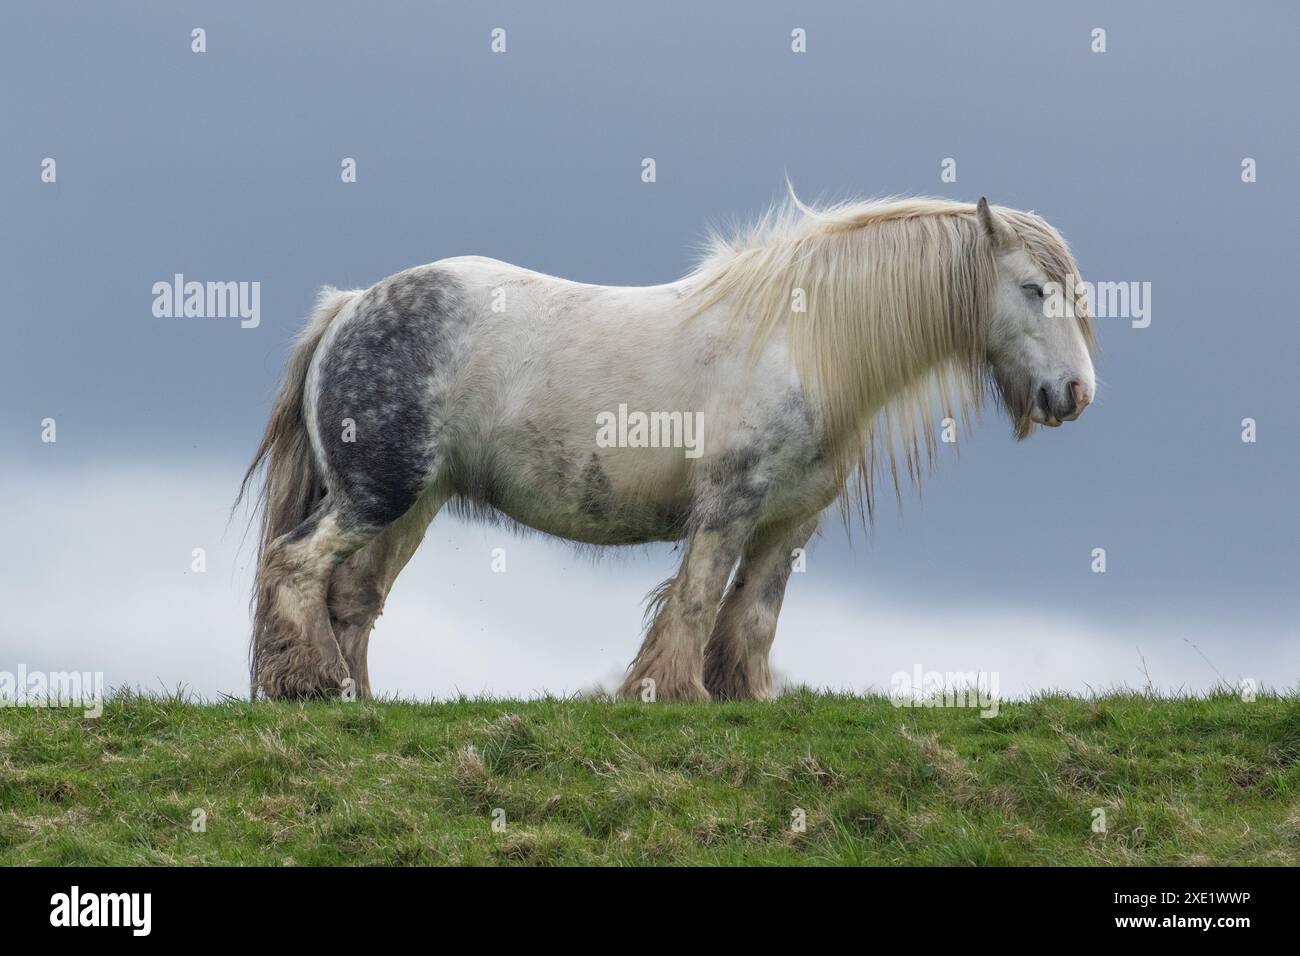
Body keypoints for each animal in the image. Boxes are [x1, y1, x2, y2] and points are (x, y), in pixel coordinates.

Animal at [235, 193, 1096, 702]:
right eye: (1032, 289)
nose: (1074, 394)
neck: (802, 345)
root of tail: (350, 306)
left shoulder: (788, 527)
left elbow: (753, 617)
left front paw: (745, 697)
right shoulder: (727, 511)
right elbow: (694, 601)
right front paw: (672, 694)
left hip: (412, 504)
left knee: (353, 597)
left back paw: (359, 699)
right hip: (377, 494)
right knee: (296, 565)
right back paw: (308, 683)